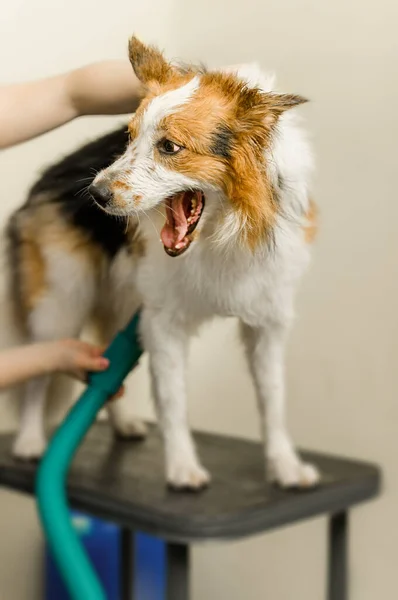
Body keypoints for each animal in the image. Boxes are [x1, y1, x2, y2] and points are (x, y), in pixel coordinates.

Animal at [7, 35, 318, 490]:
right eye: (129, 138)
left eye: (170, 147)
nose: (95, 196)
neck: (222, 236)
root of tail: (40, 183)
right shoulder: (162, 321)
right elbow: (173, 399)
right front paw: (183, 468)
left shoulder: (268, 320)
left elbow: (273, 398)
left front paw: (285, 466)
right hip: (61, 298)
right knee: (39, 372)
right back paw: (29, 440)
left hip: (120, 301)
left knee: (105, 362)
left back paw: (122, 423)